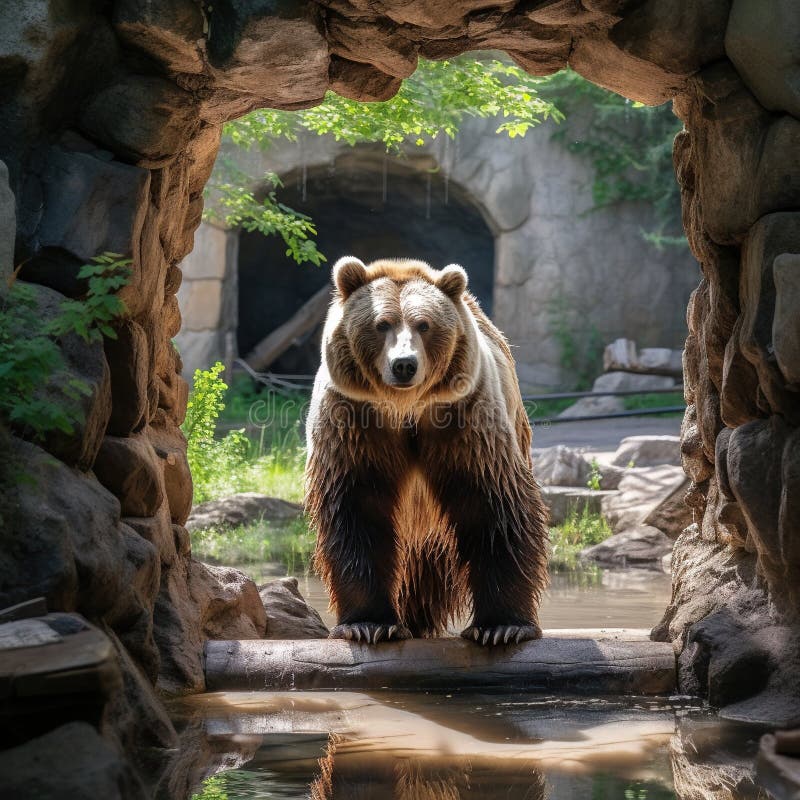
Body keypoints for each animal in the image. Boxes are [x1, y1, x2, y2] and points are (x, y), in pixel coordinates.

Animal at [304, 256, 549, 646]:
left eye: (424, 324)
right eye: (382, 323)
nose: (404, 364)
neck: (406, 409)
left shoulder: (464, 419)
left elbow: (492, 506)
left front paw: (502, 626)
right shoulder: (355, 421)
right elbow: (356, 508)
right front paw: (368, 623)